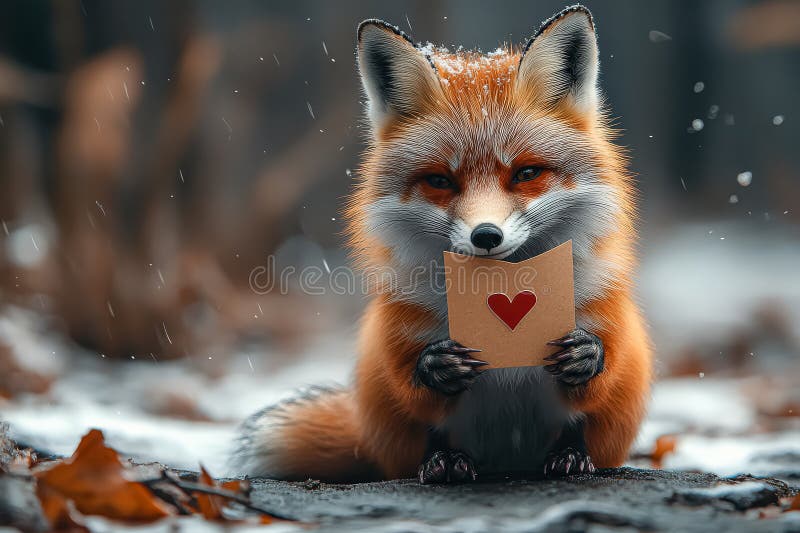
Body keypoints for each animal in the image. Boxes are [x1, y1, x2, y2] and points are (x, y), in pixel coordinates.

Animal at [232, 5, 652, 483]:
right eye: (440, 181)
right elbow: (413, 386)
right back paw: (446, 462)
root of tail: (506, 465)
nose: (486, 235)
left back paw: (569, 458)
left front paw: (588, 356)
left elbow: (598, 378)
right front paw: (435, 369)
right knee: (429, 443)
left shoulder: (607, 321)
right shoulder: (400, 332)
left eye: (526, 174)